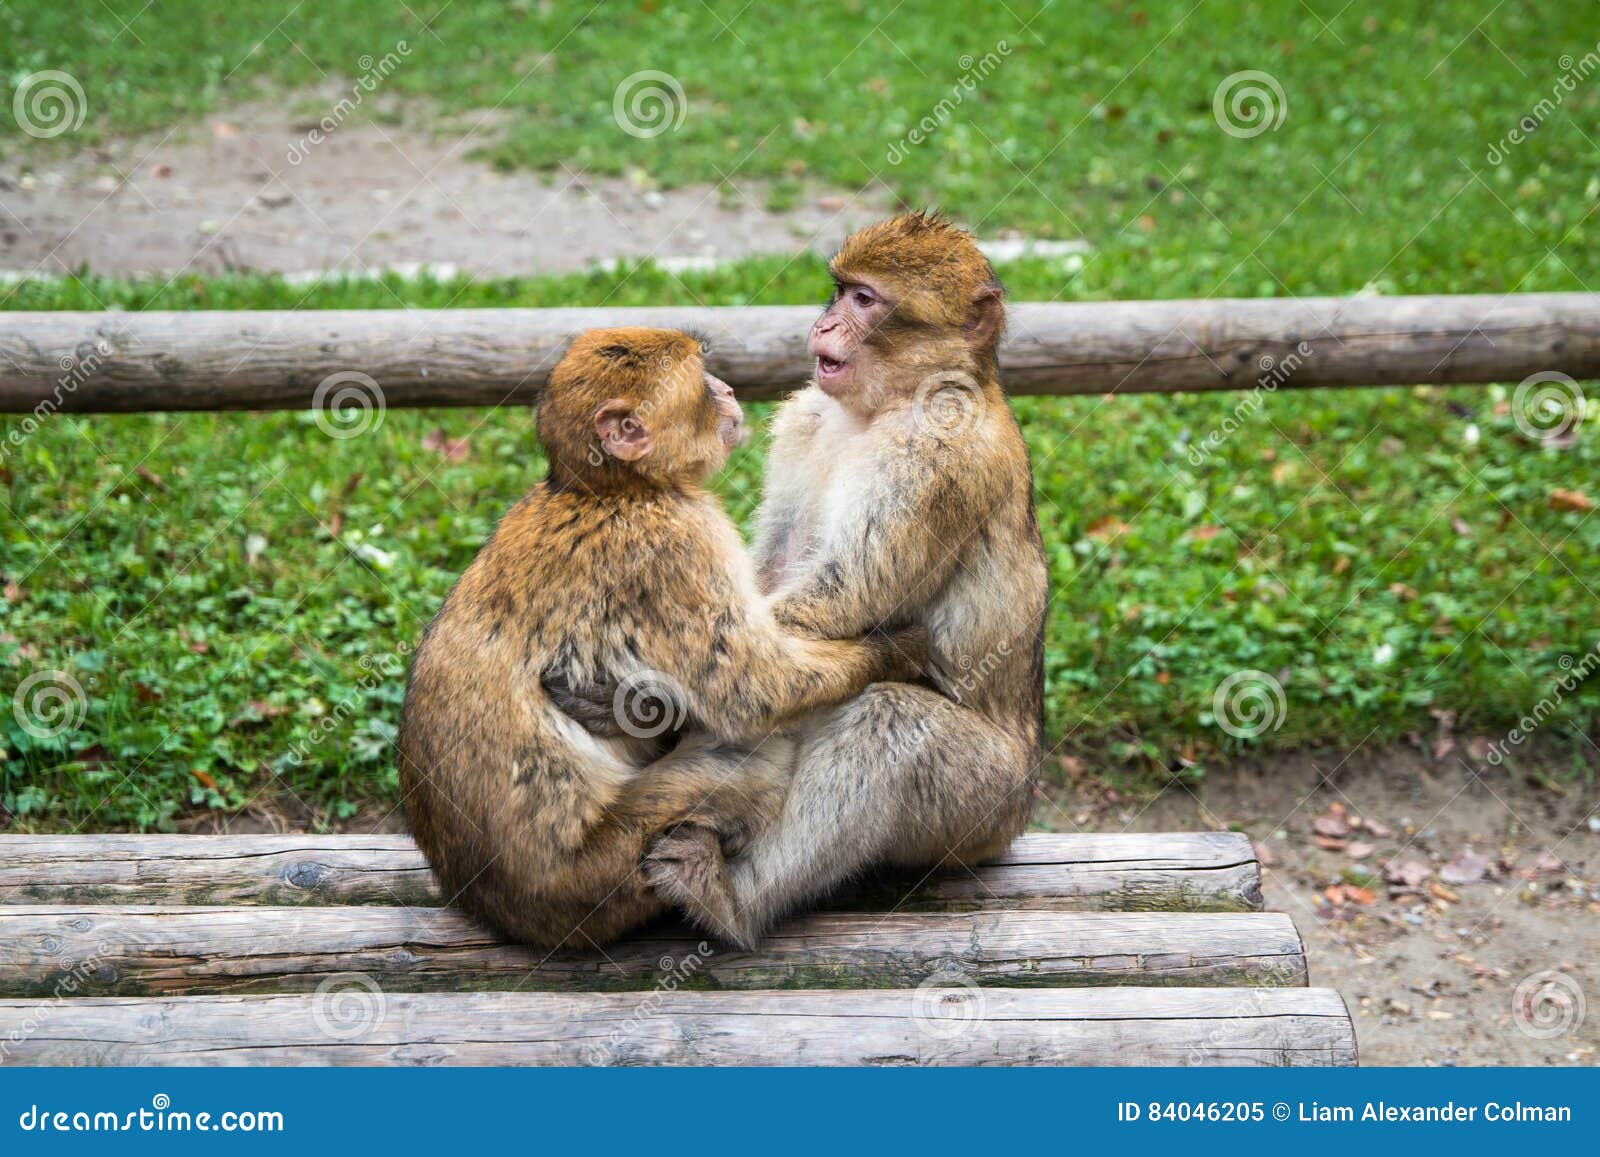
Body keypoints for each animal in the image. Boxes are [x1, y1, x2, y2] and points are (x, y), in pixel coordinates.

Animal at [397, 327, 924, 949]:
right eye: (701, 379)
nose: (727, 390)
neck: (615, 489)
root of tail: (503, 915)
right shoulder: (680, 542)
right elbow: (754, 692)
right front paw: (898, 652)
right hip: (603, 876)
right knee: (751, 760)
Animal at [640, 213, 1049, 948]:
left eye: (865, 300)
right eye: (840, 291)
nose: (826, 323)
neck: (889, 403)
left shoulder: (936, 449)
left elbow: (849, 593)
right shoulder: (805, 418)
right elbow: (771, 575)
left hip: (982, 808)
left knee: (887, 727)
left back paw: (735, 901)